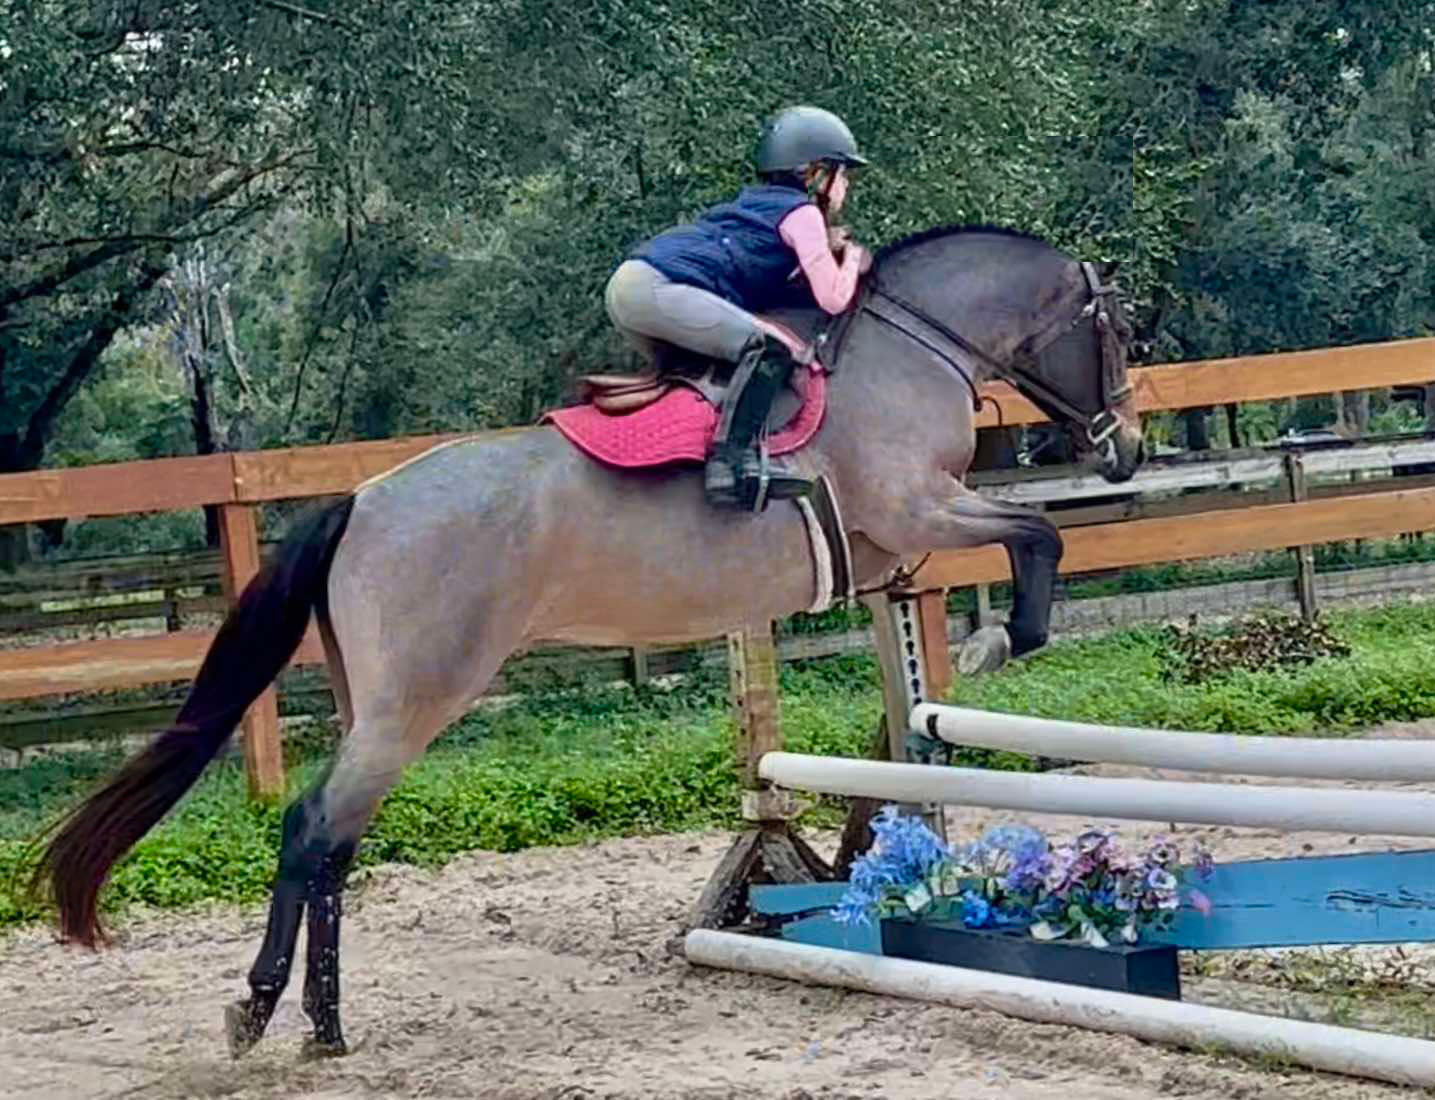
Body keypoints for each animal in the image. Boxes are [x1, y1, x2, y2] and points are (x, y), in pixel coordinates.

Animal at [29, 224, 1144, 1058]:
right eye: (1119, 331)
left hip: (370, 702)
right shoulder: (920, 509)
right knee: (314, 828)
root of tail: (361, 499)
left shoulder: (897, 547)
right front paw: (1001, 641)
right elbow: (1038, 539)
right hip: (415, 703)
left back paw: (316, 1021)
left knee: (332, 842)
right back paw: (274, 1012)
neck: (908, 347)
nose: (1126, 448)